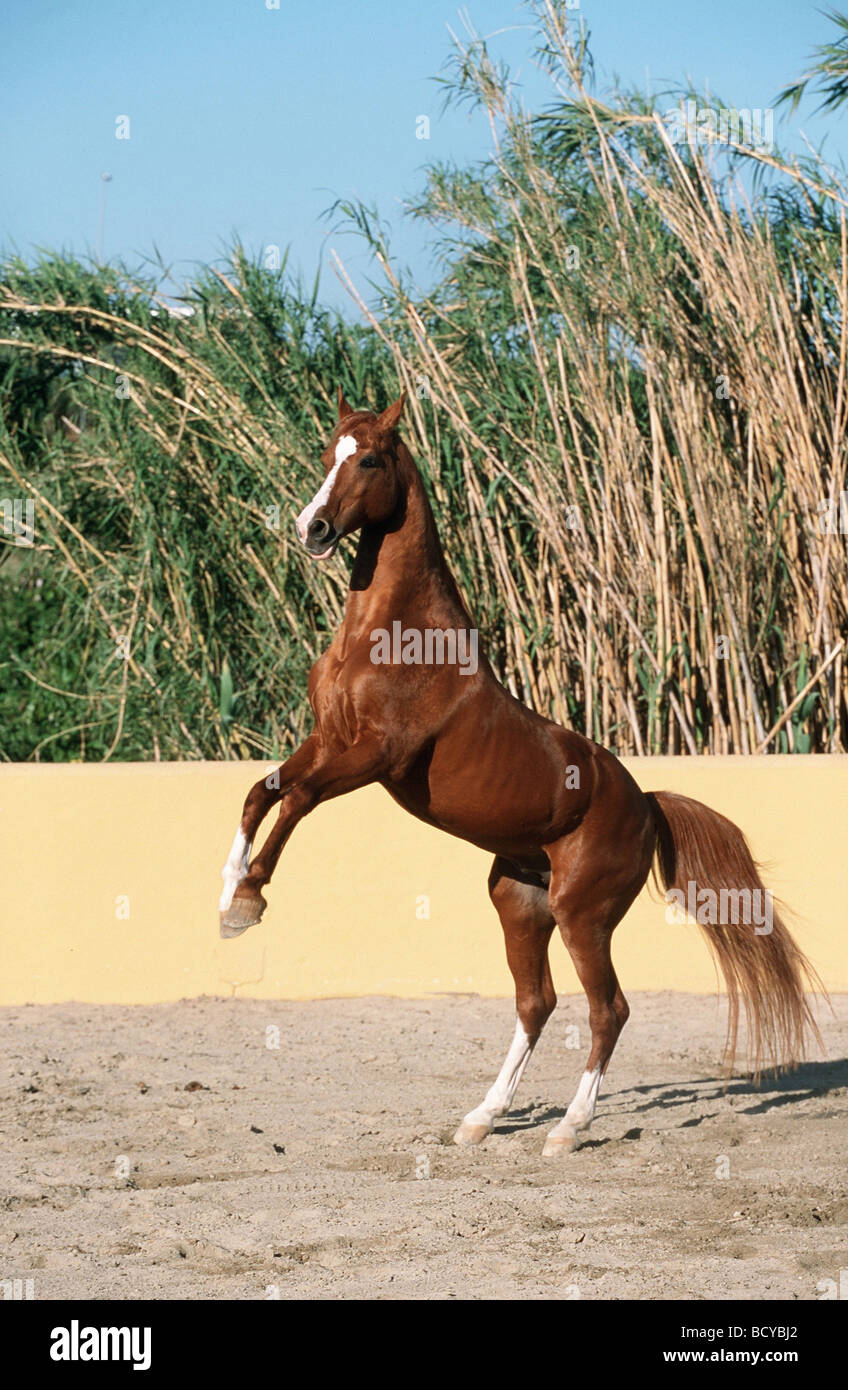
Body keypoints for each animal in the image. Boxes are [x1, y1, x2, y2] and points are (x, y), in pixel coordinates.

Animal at [219, 388, 821, 1155]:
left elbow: (294, 801)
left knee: (607, 1010)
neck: (394, 635)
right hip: (519, 901)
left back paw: (567, 1129)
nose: (312, 527)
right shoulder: (329, 739)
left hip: (583, 914)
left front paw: (248, 901)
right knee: (537, 1003)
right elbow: (259, 792)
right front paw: (228, 892)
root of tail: (645, 803)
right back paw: (482, 1117)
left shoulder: (374, 755)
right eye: (330, 455)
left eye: (372, 460)